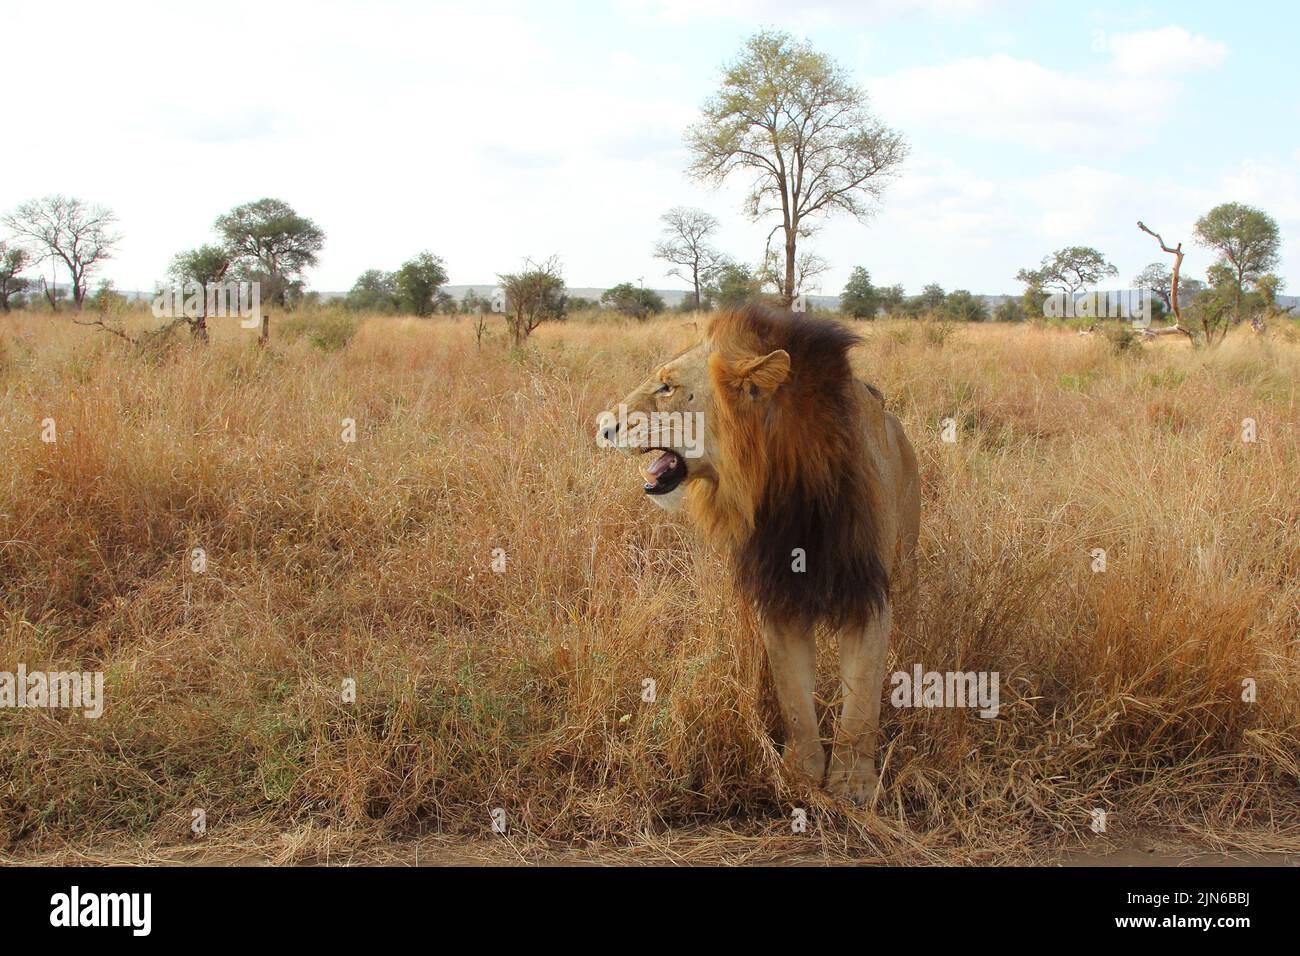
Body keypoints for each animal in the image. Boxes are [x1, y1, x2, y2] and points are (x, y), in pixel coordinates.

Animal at [597, 304, 920, 803]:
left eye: (667, 386)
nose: (602, 426)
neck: (785, 485)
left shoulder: (867, 593)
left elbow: (862, 701)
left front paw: (852, 782)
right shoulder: (777, 597)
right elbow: (794, 697)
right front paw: (801, 774)